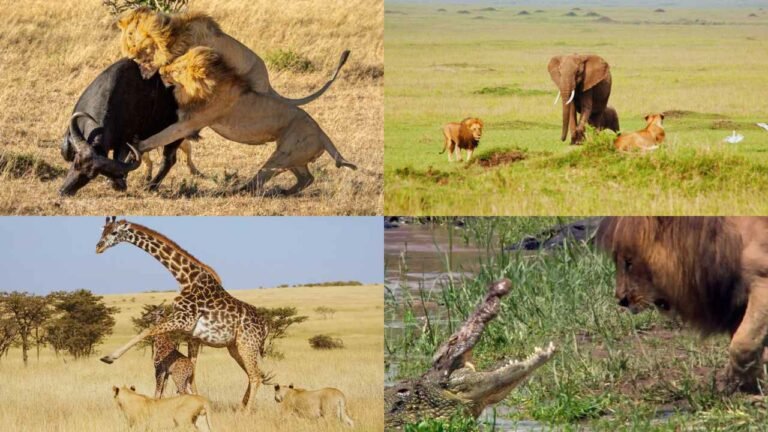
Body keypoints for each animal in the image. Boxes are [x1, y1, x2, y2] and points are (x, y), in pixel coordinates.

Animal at [117, 7, 349, 106]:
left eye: (132, 36)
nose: (128, 56)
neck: (174, 38)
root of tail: (267, 84)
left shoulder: (199, 51)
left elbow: (182, 63)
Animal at [132, 47, 356, 195]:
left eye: (176, 69)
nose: (161, 70)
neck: (214, 80)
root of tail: (322, 133)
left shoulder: (190, 123)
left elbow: (160, 137)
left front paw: (137, 146)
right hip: (293, 156)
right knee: (307, 178)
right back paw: (284, 192)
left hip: (283, 154)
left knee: (261, 180)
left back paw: (239, 190)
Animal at [597, 217, 768, 394]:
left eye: (629, 262)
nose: (621, 300)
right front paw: (750, 384)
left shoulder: (762, 283)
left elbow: (742, 343)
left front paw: (740, 381)